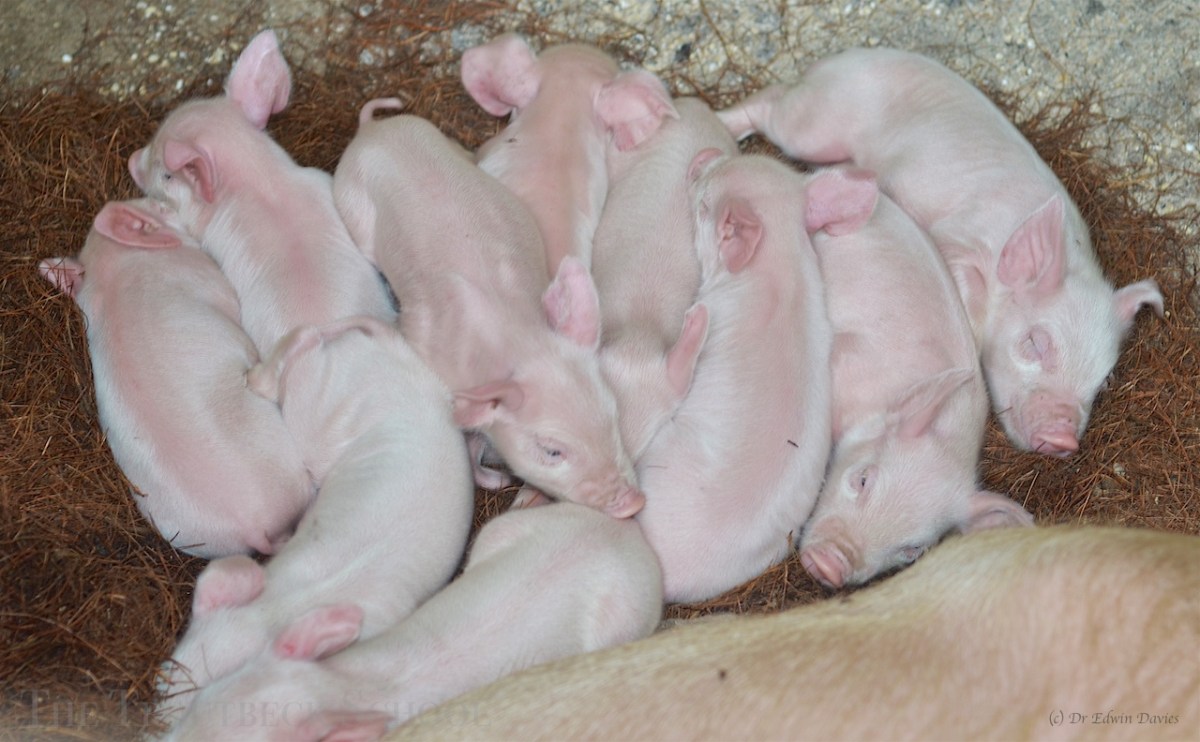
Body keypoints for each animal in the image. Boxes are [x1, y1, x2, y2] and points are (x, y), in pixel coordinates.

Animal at [38, 199, 312, 558]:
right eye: (158, 207)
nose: (159, 200)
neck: (112, 272)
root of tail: (255, 527)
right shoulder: (209, 276)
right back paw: (304, 337)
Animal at [332, 103, 643, 518]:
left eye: (613, 413)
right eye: (552, 450)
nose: (634, 502)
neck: (516, 339)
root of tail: (372, 131)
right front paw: (498, 479)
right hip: (352, 206)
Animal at [717, 47, 1164, 457]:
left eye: (1103, 380)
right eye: (1036, 342)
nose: (1063, 439)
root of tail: (845, 57)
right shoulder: (958, 239)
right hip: (816, 125)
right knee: (773, 102)